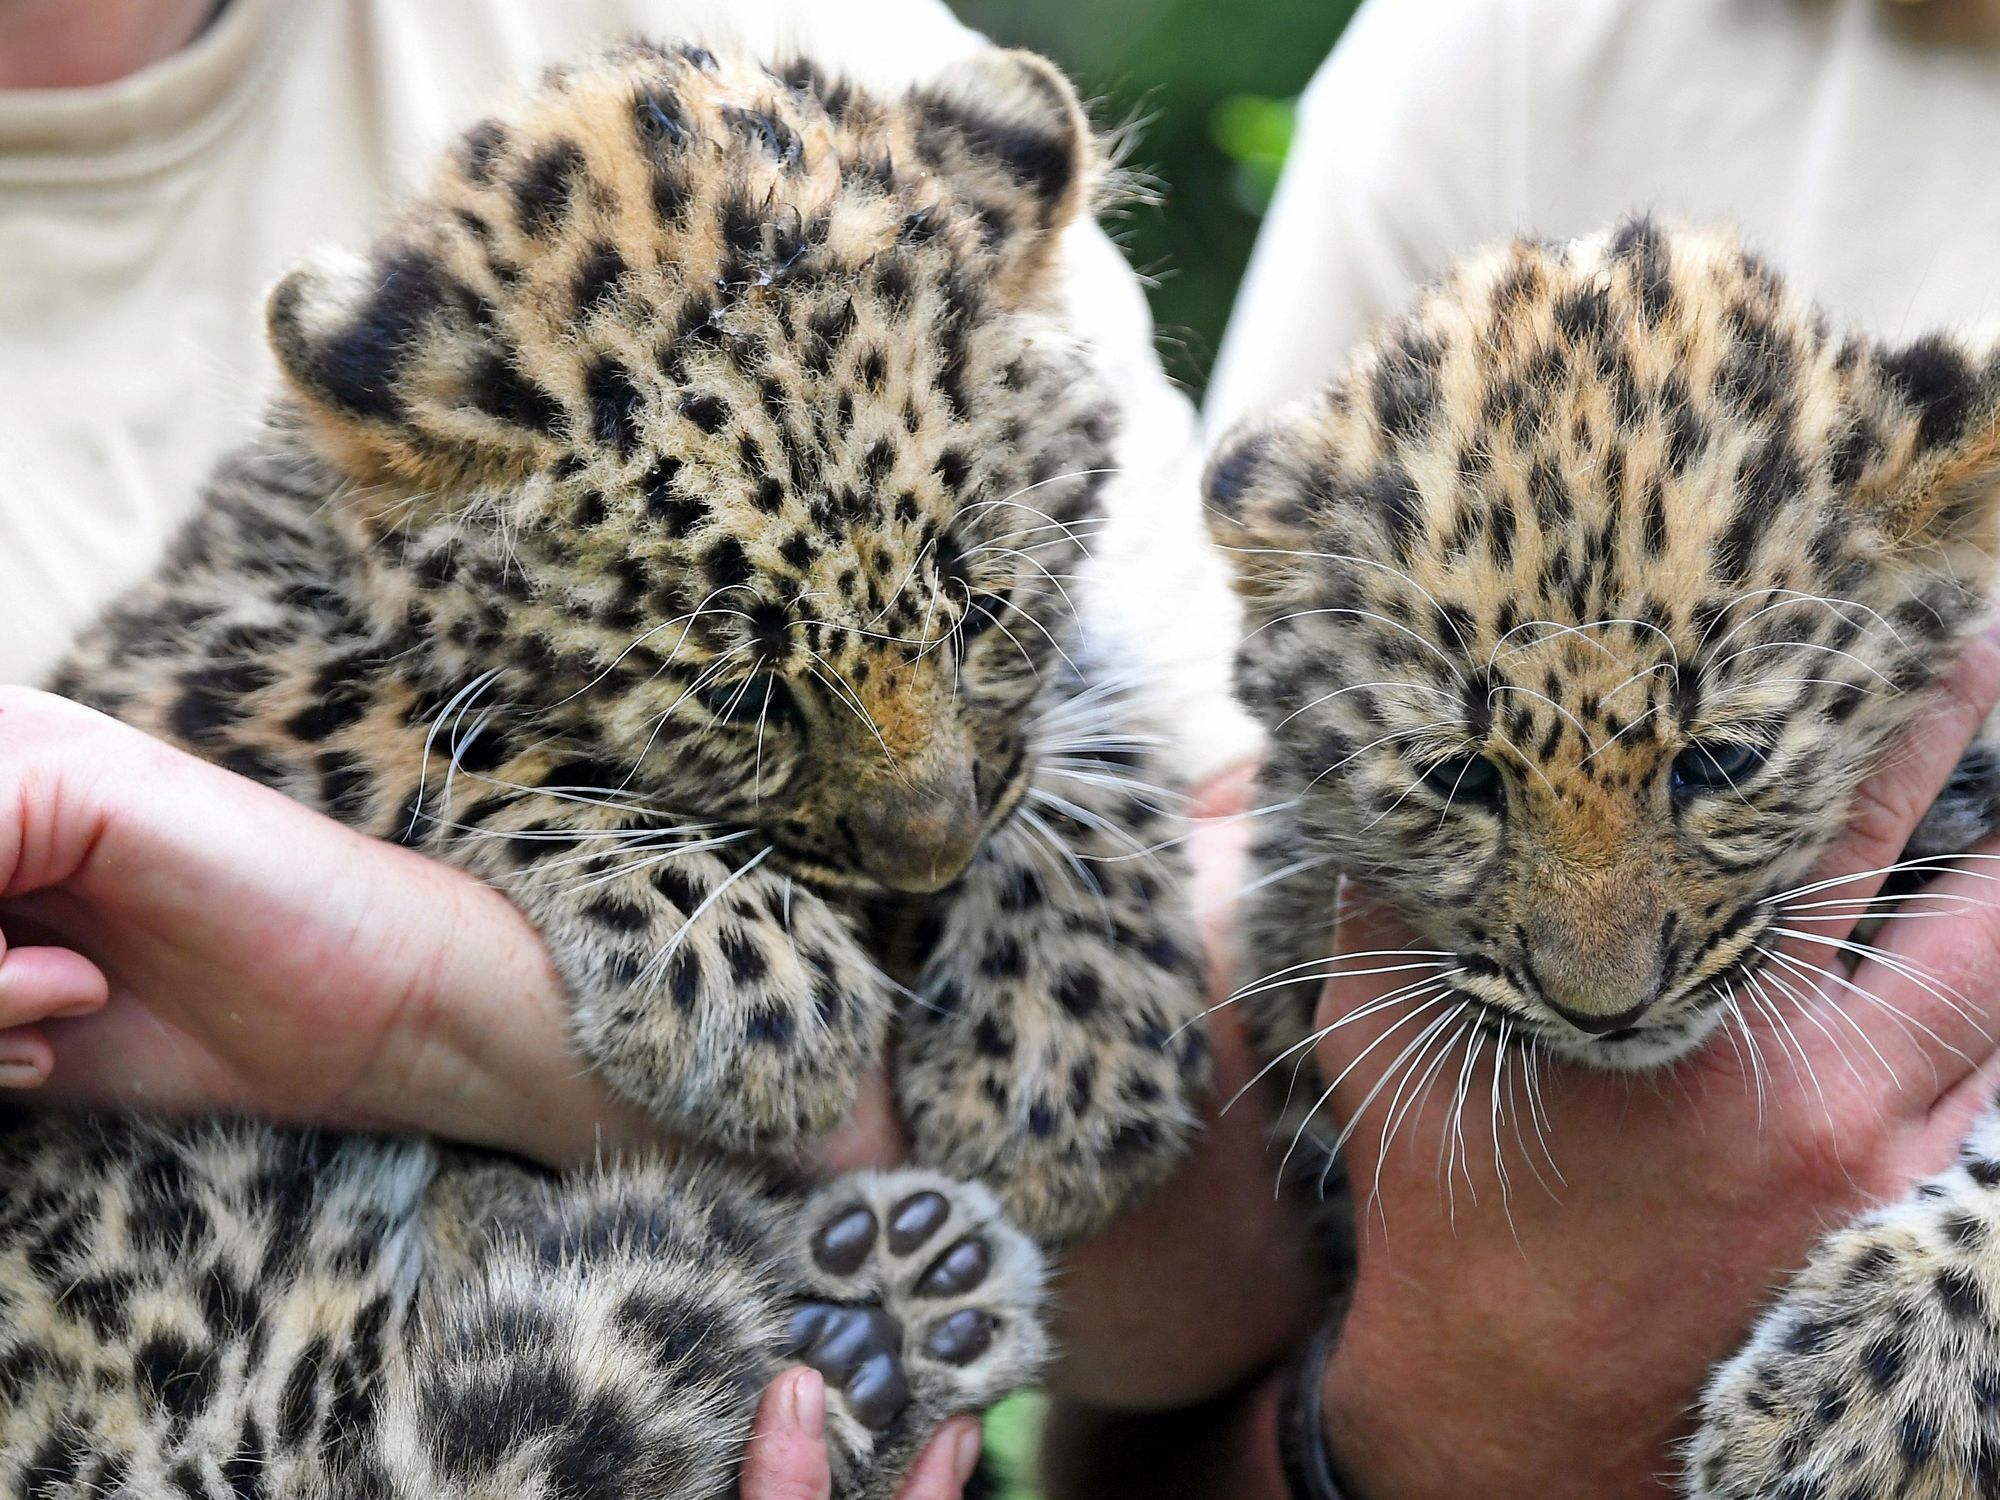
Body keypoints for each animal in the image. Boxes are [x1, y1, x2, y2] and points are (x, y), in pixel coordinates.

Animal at [0, 38, 1210, 1499]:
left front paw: (1063, 1062)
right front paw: (757, 985)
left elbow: (1095, 725)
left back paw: (883, 1309)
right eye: (739, 696)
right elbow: (442, 720)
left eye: (982, 614)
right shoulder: (182, 660)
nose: (929, 860)